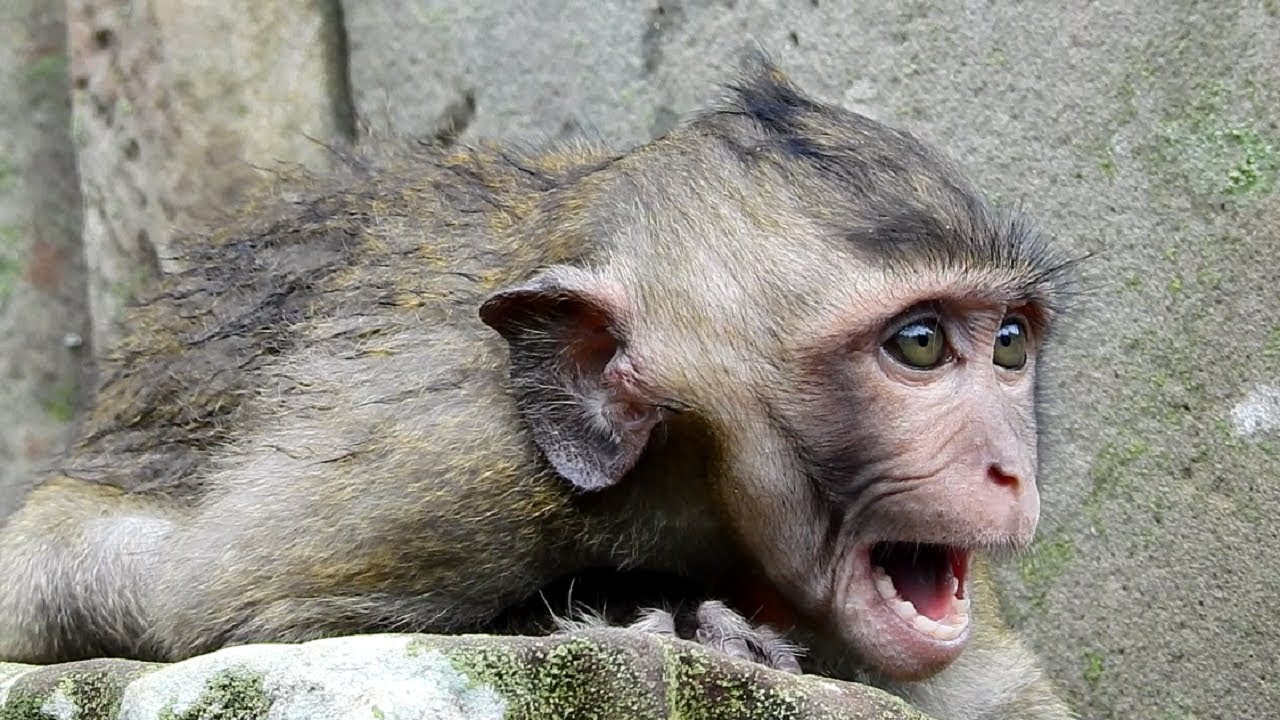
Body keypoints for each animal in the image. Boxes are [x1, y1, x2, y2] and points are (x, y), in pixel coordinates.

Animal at [0, 58, 1075, 719]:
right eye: (921, 345)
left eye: (1008, 344)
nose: (1011, 473)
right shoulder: (439, 467)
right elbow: (224, 615)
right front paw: (668, 615)